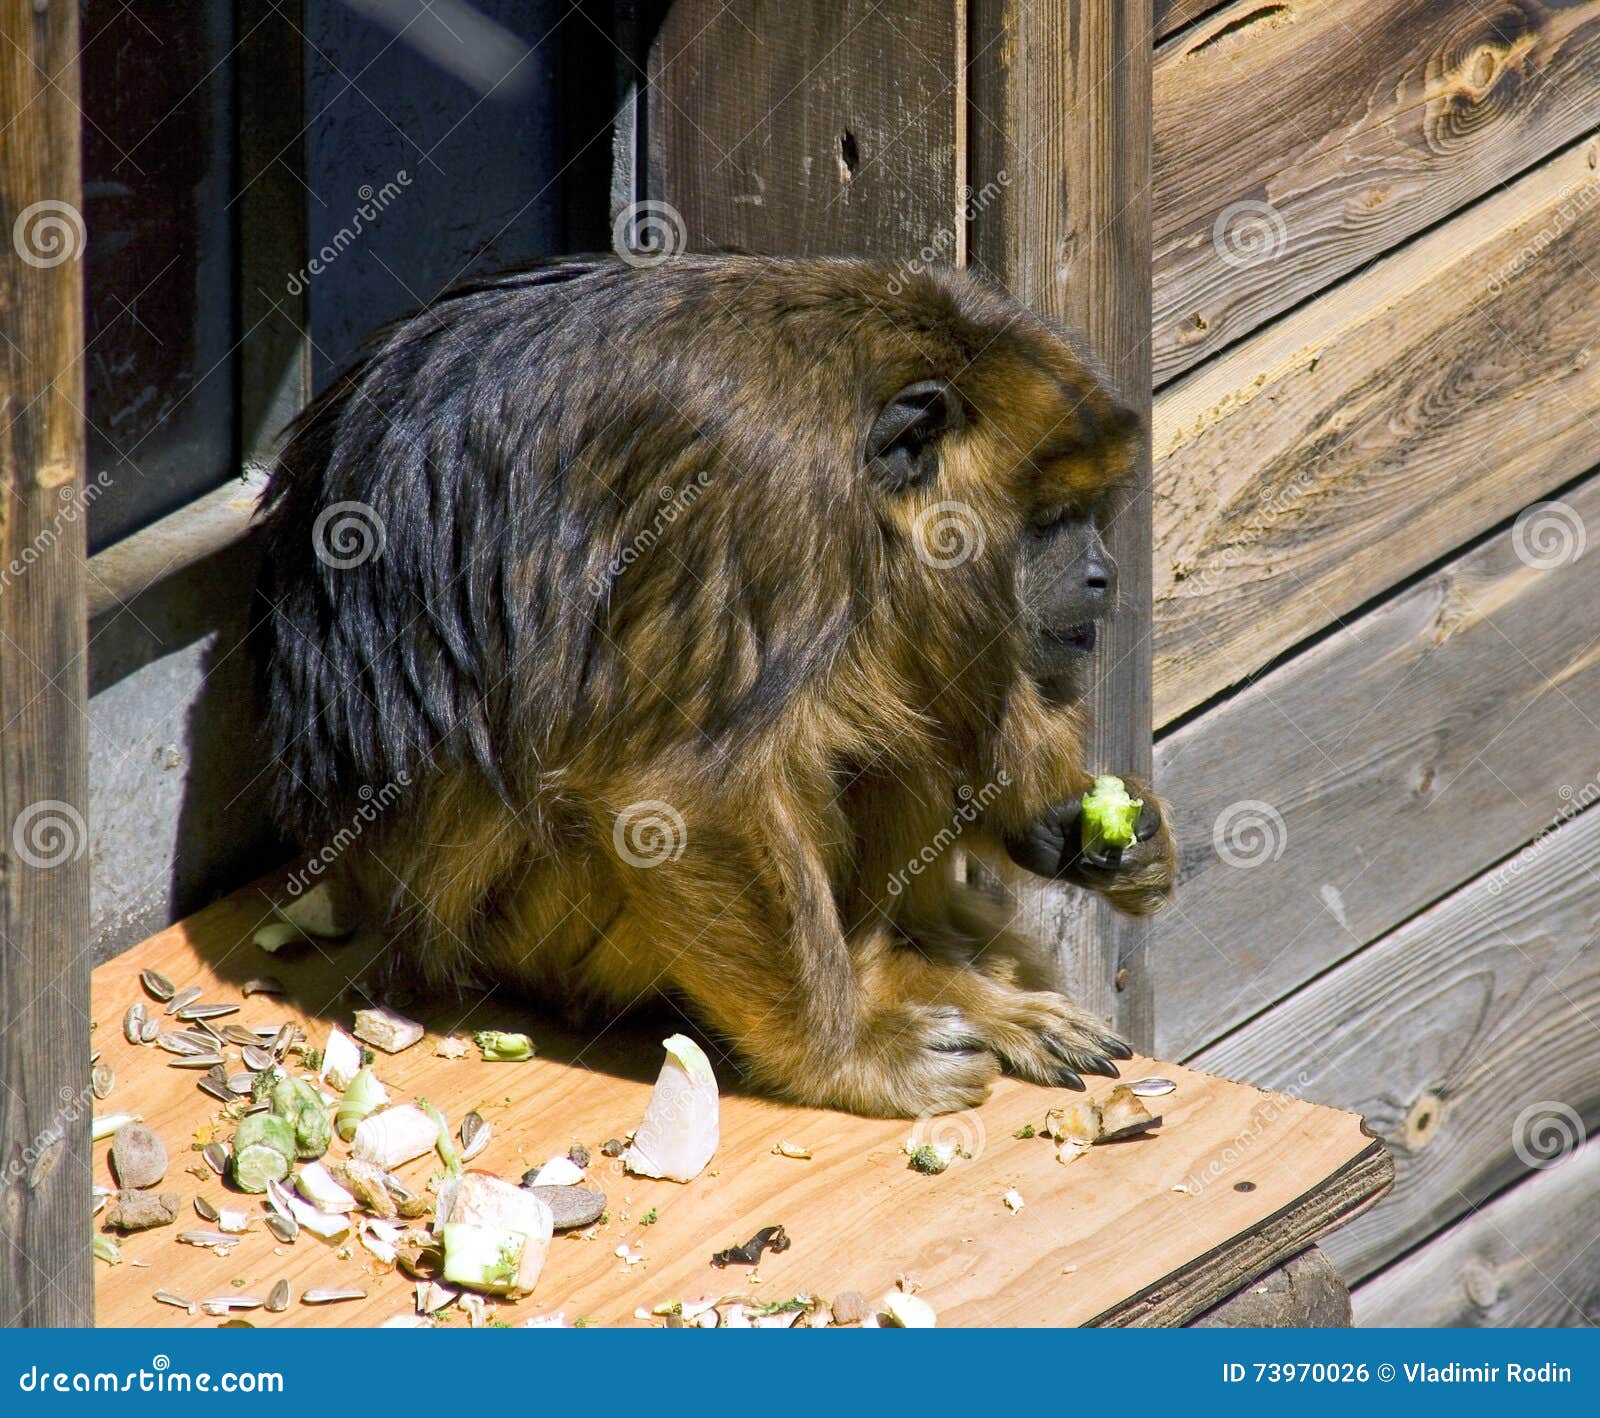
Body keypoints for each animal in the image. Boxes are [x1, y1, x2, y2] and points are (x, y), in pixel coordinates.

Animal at [255, 254, 1177, 1118]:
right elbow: (677, 793)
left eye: (1089, 513)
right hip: (526, 931)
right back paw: (894, 983)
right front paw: (846, 1059)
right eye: (1048, 523)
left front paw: (1076, 820)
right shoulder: (766, 492)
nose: (1104, 574)